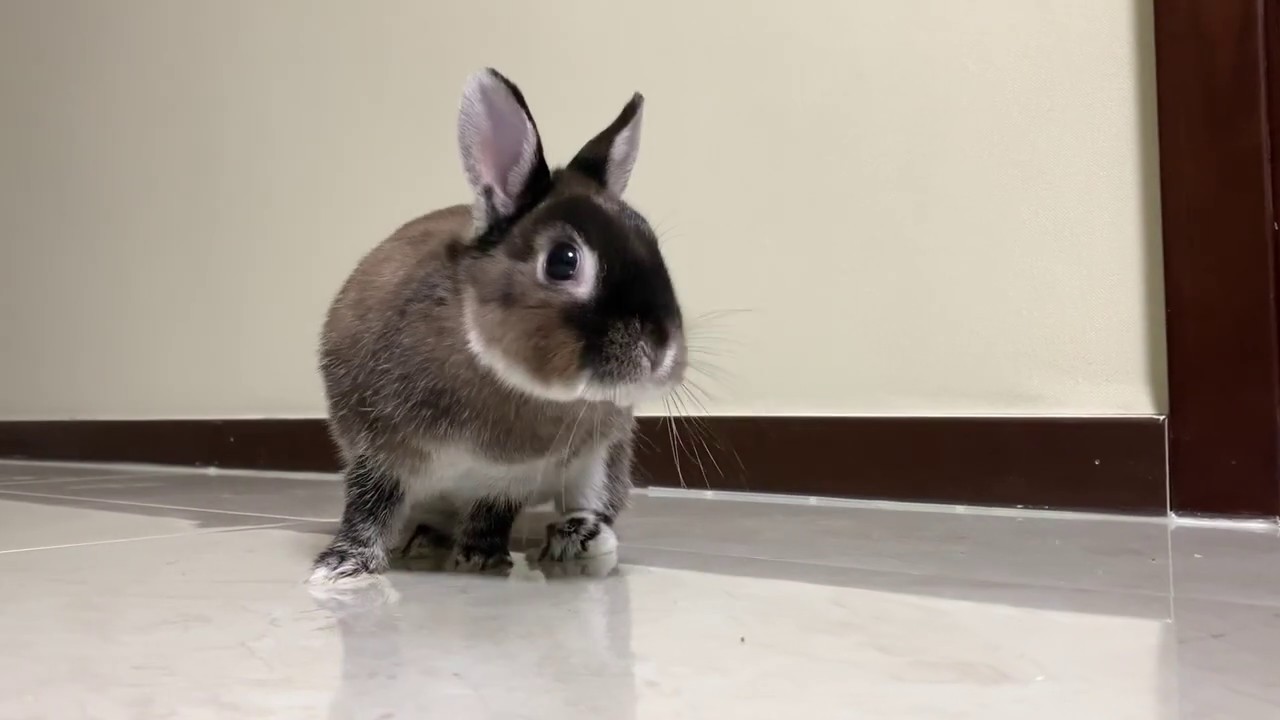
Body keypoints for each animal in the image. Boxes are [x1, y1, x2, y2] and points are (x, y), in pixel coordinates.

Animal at [309, 68, 686, 583]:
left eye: (652, 244)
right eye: (564, 261)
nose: (661, 349)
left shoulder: (509, 478)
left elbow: (492, 512)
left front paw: (481, 559)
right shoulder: (380, 450)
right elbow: (368, 505)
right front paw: (343, 566)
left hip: (604, 459)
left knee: (595, 501)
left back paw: (579, 538)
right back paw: (423, 539)